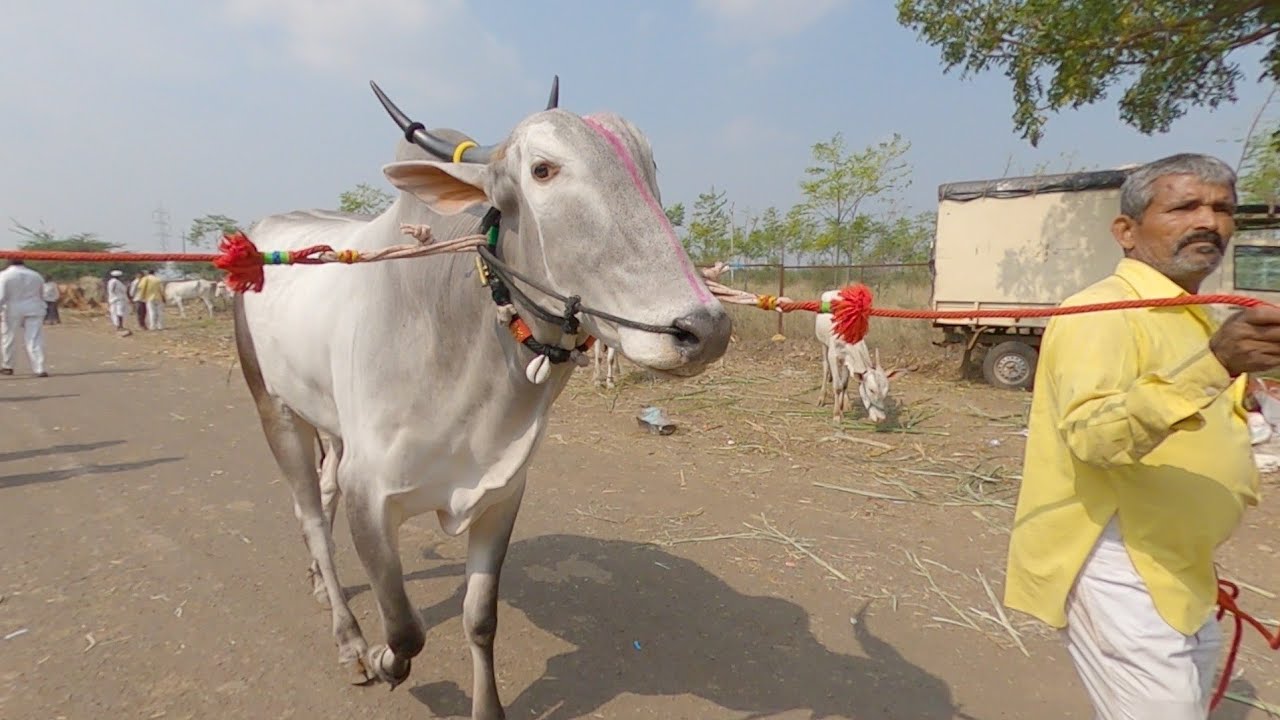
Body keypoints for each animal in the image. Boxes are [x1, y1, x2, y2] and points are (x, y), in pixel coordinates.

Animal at [231, 78, 731, 720]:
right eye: (543, 170)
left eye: (649, 169)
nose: (704, 328)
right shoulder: (370, 494)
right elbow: (406, 628)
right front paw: (382, 660)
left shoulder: (501, 495)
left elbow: (480, 618)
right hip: (274, 407)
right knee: (311, 515)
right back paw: (348, 639)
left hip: (329, 423)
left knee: (320, 492)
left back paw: (323, 583)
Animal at [814, 289, 903, 424]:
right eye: (871, 390)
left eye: (886, 391)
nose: (881, 418)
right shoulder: (833, 355)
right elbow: (838, 386)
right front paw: (836, 415)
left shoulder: (848, 360)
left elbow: (844, 384)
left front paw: (842, 409)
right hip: (823, 344)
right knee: (825, 368)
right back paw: (821, 398)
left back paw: (847, 404)